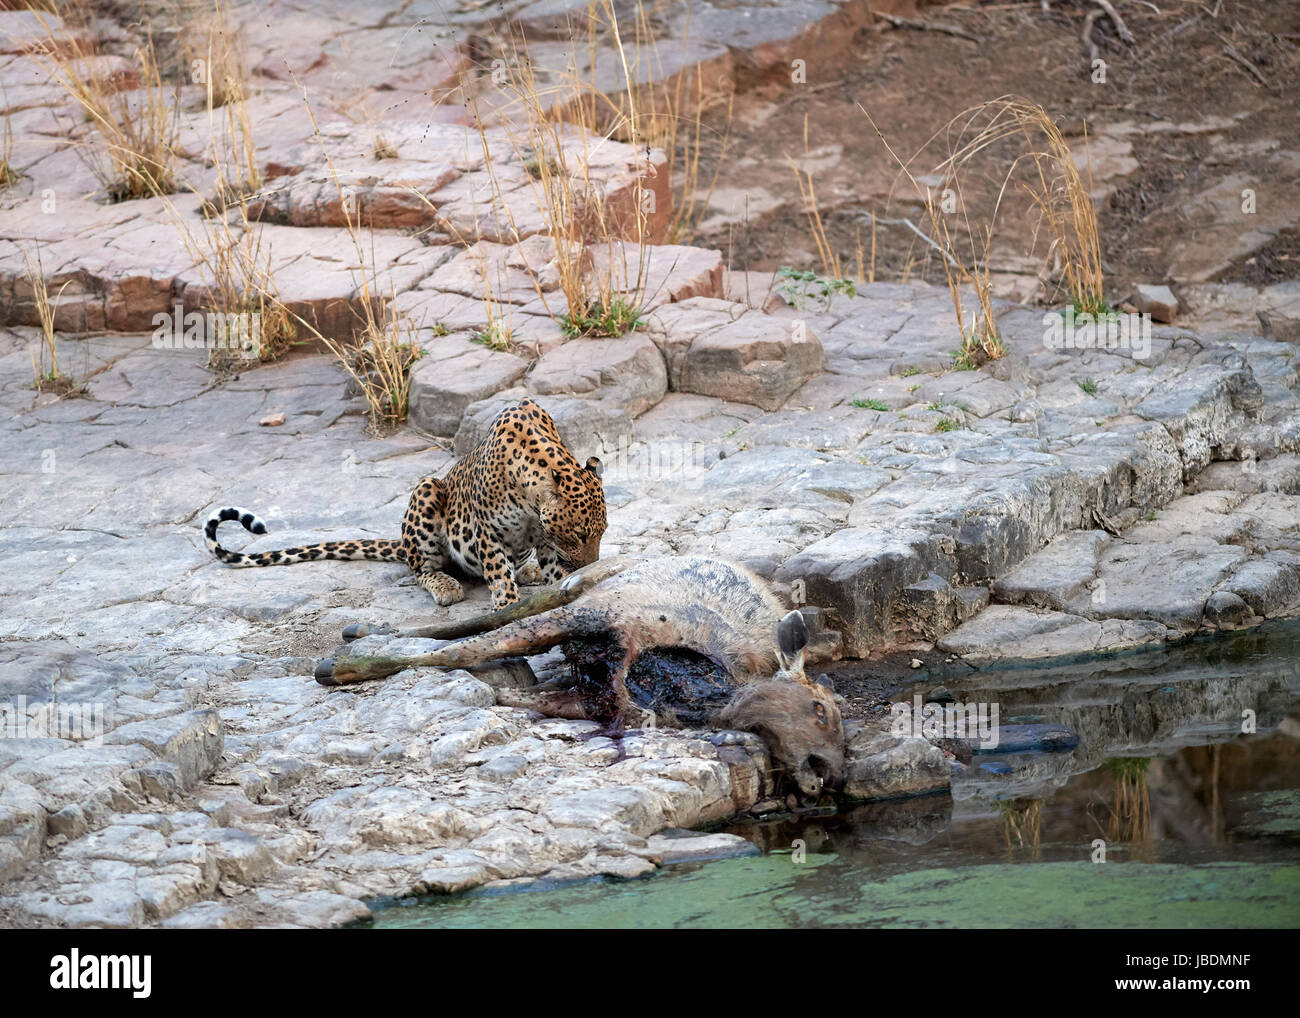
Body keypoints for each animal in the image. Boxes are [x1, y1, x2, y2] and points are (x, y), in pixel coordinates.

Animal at [203, 398, 607, 609]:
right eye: (580, 534)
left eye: (602, 533)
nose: (592, 564)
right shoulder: (488, 532)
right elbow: (497, 573)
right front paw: (507, 607)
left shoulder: (544, 538)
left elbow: (550, 566)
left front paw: (561, 587)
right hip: (427, 493)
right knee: (421, 569)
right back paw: (446, 586)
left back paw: (529, 571)